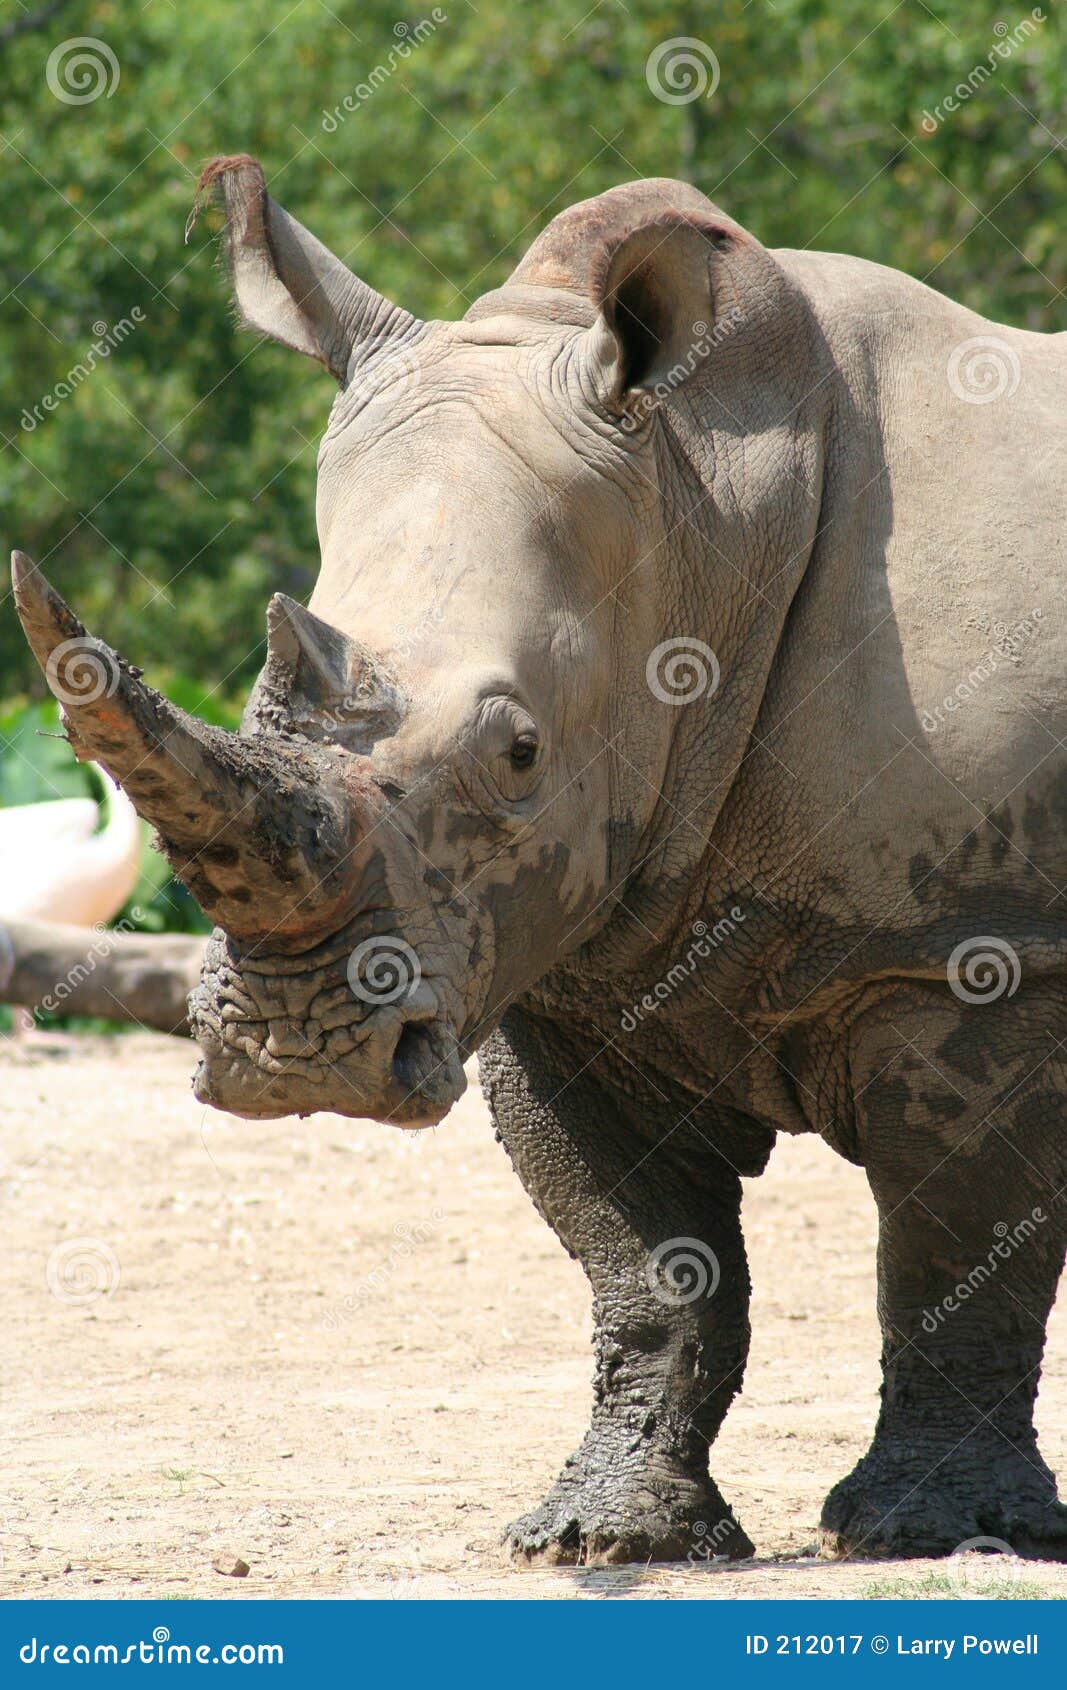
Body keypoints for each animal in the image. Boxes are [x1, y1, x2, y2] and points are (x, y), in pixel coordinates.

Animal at [10, 156, 1067, 1566]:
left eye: (517, 752)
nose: (300, 1054)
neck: (704, 508)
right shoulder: (557, 948)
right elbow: (647, 1263)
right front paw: (602, 1535)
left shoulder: (964, 945)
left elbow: (955, 1250)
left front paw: (932, 1534)